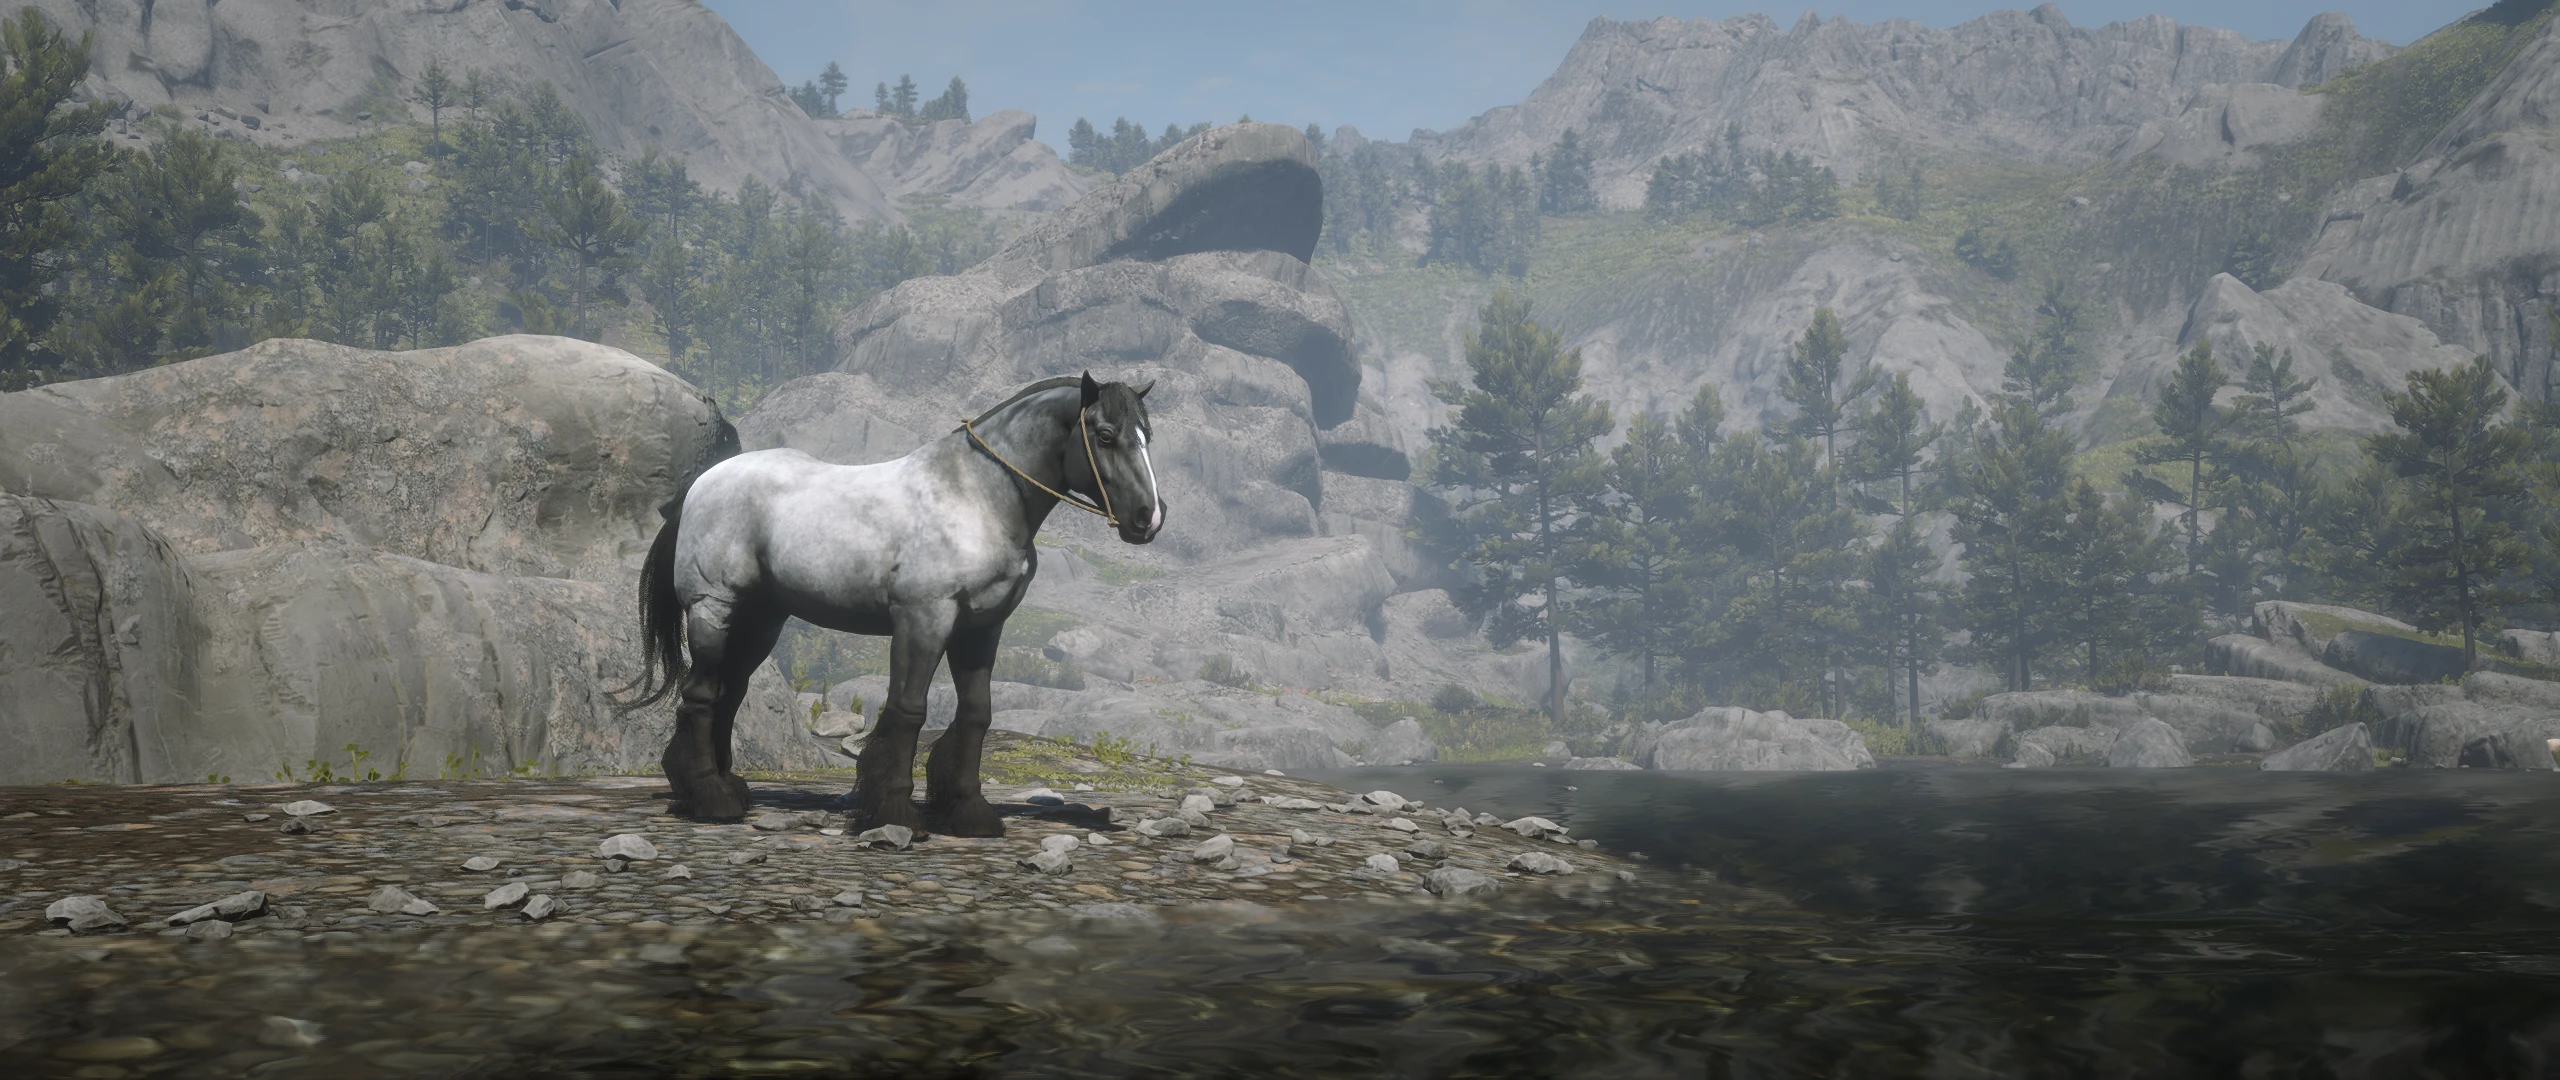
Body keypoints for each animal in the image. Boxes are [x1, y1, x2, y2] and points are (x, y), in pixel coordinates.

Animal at [621, 372, 1164, 834]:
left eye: (1147, 435)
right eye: (1105, 435)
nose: (1149, 518)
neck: (976, 498)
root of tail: (702, 485)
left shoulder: (981, 629)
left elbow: (976, 715)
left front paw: (969, 812)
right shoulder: (924, 618)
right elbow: (907, 710)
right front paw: (894, 813)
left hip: (760, 622)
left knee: (729, 694)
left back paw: (723, 787)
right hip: (713, 609)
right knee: (702, 693)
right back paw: (710, 799)